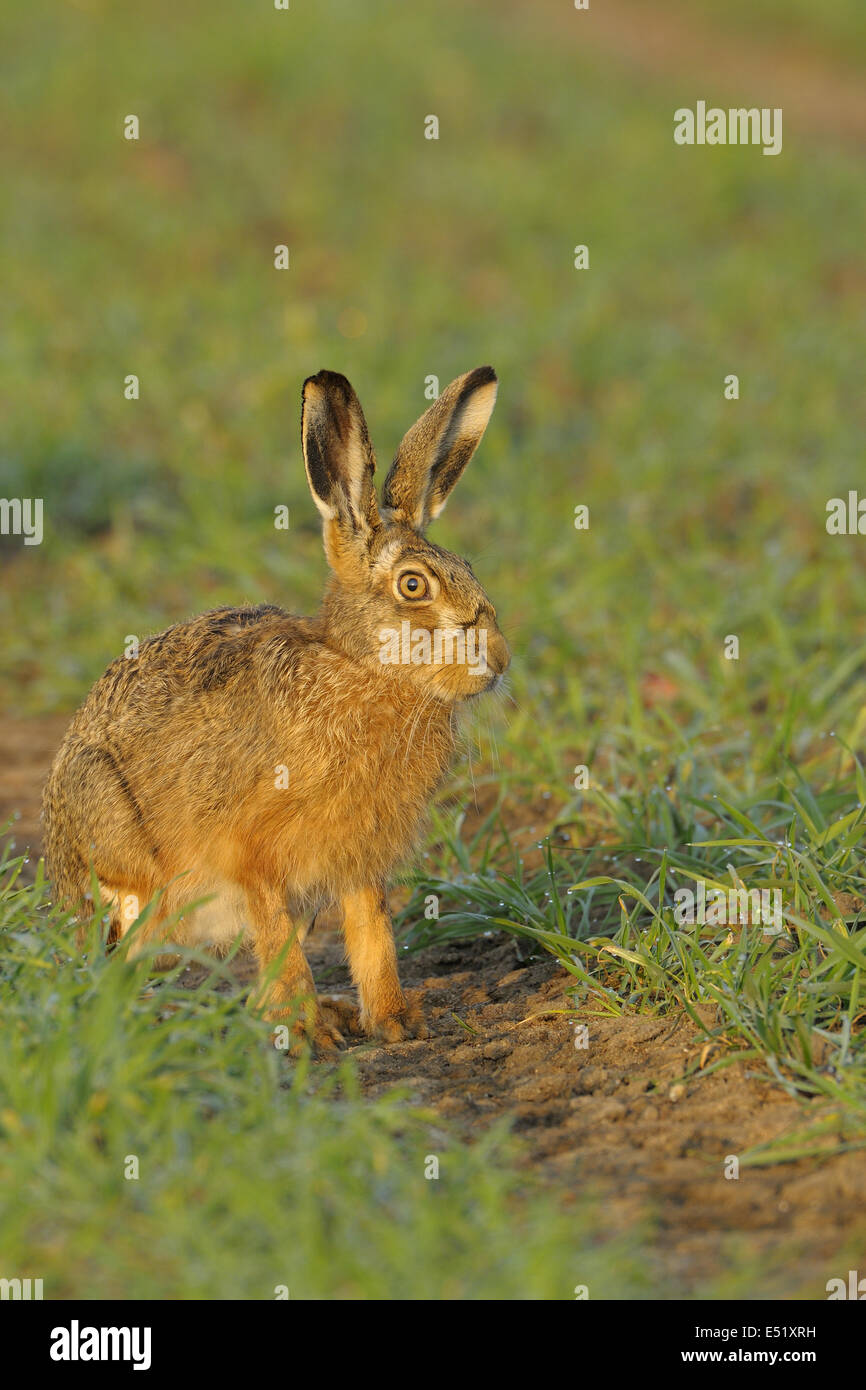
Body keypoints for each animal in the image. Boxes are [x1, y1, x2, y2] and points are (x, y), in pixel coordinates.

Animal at [42, 366, 510, 1052]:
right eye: (413, 585)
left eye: (471, 568)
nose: (499, 658)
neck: (361, 669)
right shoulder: (252, 854)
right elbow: (282, 944)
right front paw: (308, 1035)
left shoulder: (356, 860)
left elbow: (372, 936)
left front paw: (396, 1023)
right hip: (123, 855)